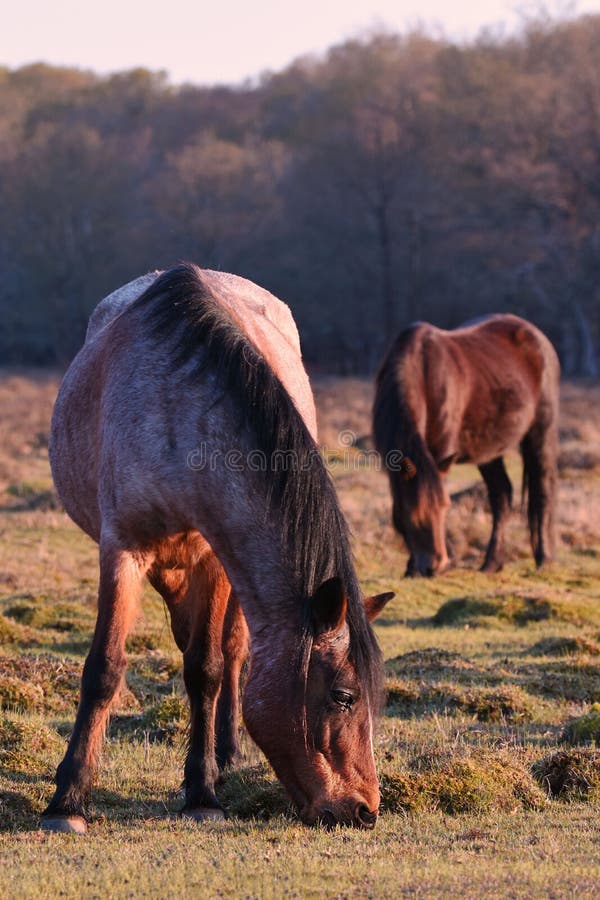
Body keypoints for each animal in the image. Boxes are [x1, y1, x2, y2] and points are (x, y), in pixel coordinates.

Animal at [42, 262, 394, 834]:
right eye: (343, 696)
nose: (364, 809)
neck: (179, 417)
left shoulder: (214, 556)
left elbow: (205, 667)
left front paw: (202, 792)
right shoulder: (122, 549)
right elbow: (104, 669)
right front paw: (67, 800)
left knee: (229, 650)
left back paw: (224, 752)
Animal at [373, 314, 560, 577]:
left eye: (445, 508)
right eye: (413, 514)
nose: (435, 566)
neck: (422, 372)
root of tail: (537, 337)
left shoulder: (441, 451)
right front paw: (410, 568)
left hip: (540, 434)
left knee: (542, 491)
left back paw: (543, 558)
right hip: (489, 452)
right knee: (501, 495)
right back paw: (492, 563)